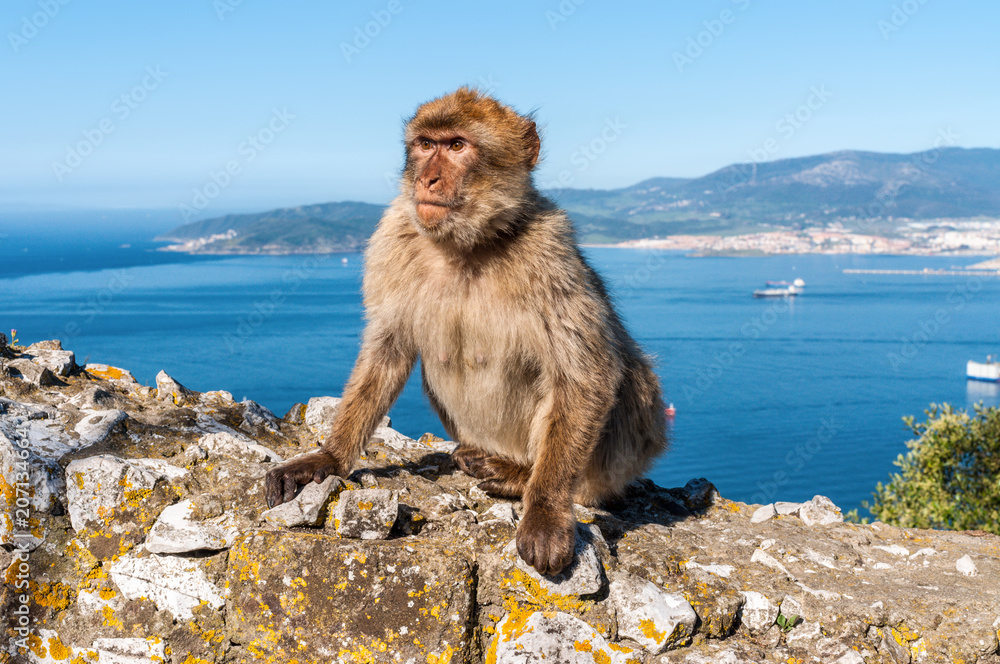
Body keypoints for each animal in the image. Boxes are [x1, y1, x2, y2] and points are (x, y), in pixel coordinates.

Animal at [265, 87, 667, 575]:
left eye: (457, 146)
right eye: (425, 145)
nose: (428, 180)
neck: (467, 245)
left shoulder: (551, 250)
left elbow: (585, 373)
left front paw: (546, 511)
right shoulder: (393, 236)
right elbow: (387, 349)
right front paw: (330, 457)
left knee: (629, 378)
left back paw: (518, 476)